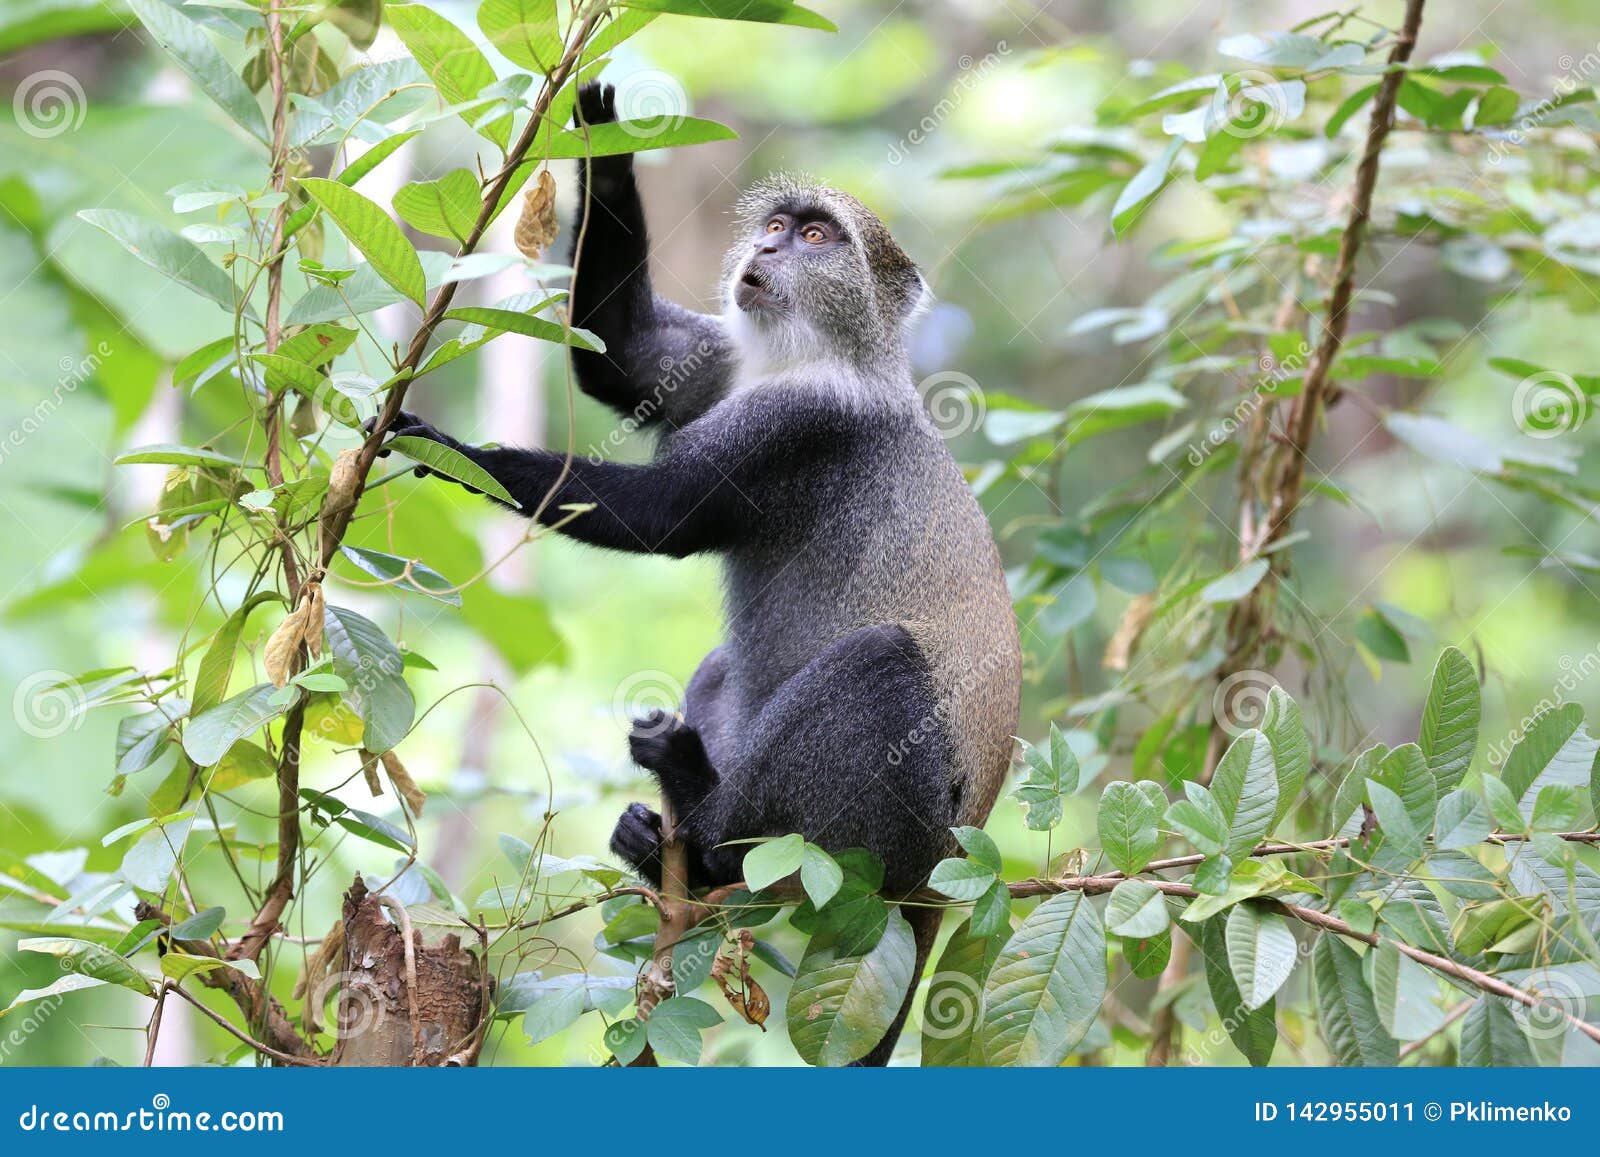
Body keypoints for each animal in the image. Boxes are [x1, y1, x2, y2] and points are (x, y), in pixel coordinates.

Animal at [372, 82, 1020, 1066]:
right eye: (779, 225)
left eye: (818, 236)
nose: (768, 249)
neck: (804, 351)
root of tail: (940, 886)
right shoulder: (720, 360)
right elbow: (626, 354)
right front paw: (605, 139)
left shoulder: (803, 423)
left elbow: (662, 517)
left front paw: (436, 445)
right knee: (724, 669)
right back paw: (661, 837)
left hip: (888, 830)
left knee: (882, 664)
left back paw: (704, 827)